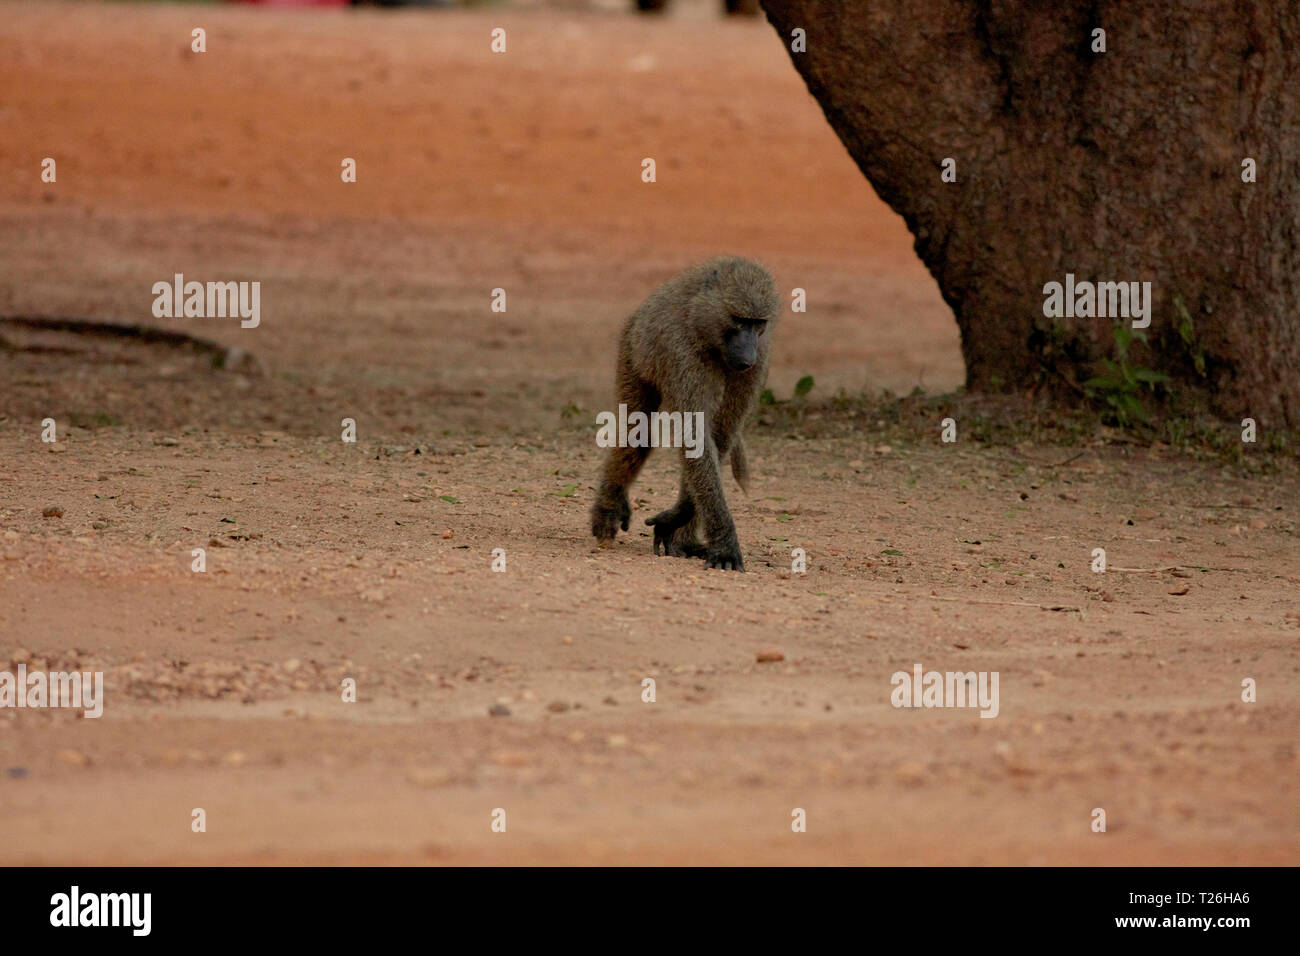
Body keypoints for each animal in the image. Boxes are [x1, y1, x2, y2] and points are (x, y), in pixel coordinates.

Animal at [590, 256, 780, 572]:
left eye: (758, 324)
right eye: (739, 320)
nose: (746, 356)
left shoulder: (761, 358)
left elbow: (718, 434)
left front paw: (676, 519)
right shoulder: (682, 355)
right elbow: (694, 436)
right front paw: (725, 545)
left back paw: (684, 540)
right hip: (631, 348)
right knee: (637, 436)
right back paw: (609, 507)